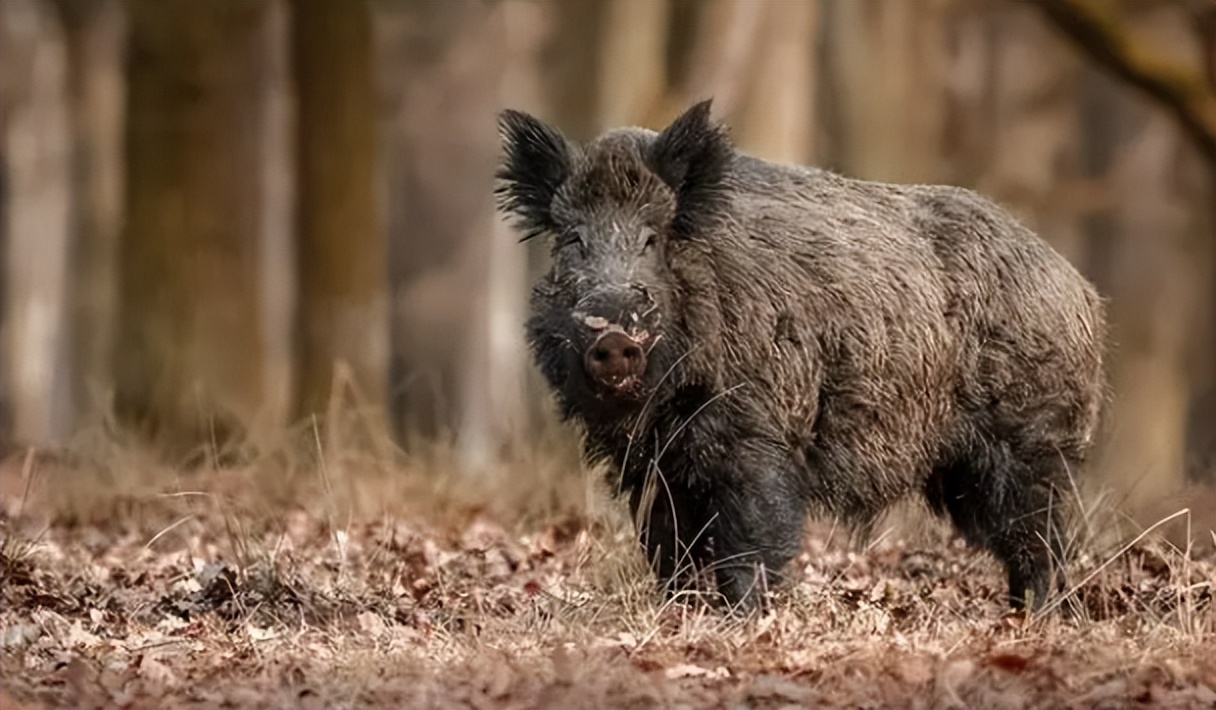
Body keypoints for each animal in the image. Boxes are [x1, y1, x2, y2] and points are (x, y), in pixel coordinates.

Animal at [496, 100, 1106, 612]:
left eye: (652, 238)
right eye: (573, 240)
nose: (614, 336)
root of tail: (1081, 290)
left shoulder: (759, 440)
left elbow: (751, 538)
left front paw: (741, 618)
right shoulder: (651, 466)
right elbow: (669, 546)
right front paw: (679, 610)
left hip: (1031, 443)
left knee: (1041, 537)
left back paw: (1037, 617)